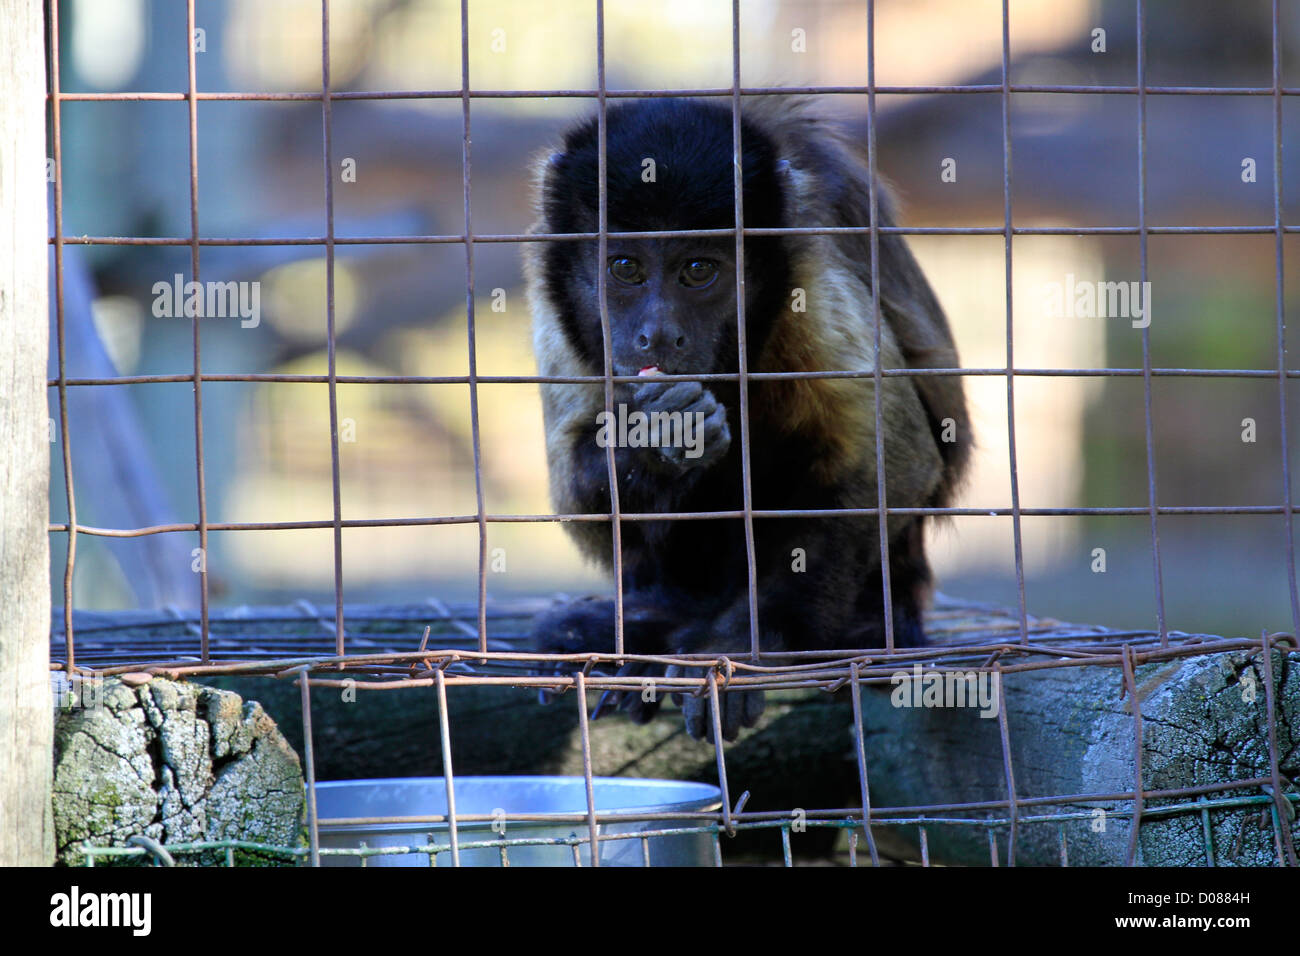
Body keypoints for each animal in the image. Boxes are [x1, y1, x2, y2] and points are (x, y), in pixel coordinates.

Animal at [523, 96, 969, 743]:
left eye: (698, 270)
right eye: (626, 267)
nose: (658, 334)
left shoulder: (808, 268)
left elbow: (889, 462)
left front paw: (746, 646)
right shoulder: (551, 292)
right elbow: (575, 494)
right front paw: (654, 436)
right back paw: (650, 627)